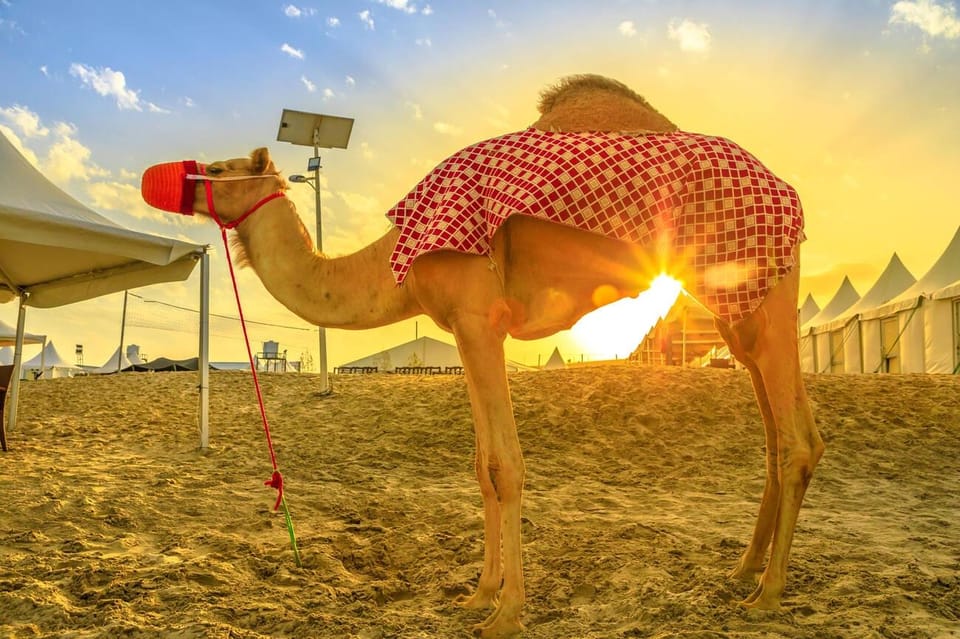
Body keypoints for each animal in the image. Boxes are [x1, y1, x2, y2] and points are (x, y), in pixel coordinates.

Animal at [141, 75, 824, 638]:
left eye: (219, 168)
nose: (161, 178)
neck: (395, 266)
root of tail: (790, 190)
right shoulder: (465, 332)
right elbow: (480, 466)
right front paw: (480, 592)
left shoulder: (478, 321)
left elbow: (506, 465)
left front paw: (508, 612)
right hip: (736, 307)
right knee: (775, 433)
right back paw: (743, 570)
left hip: (763, 288)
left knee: (797, 440)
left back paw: (767, 594)